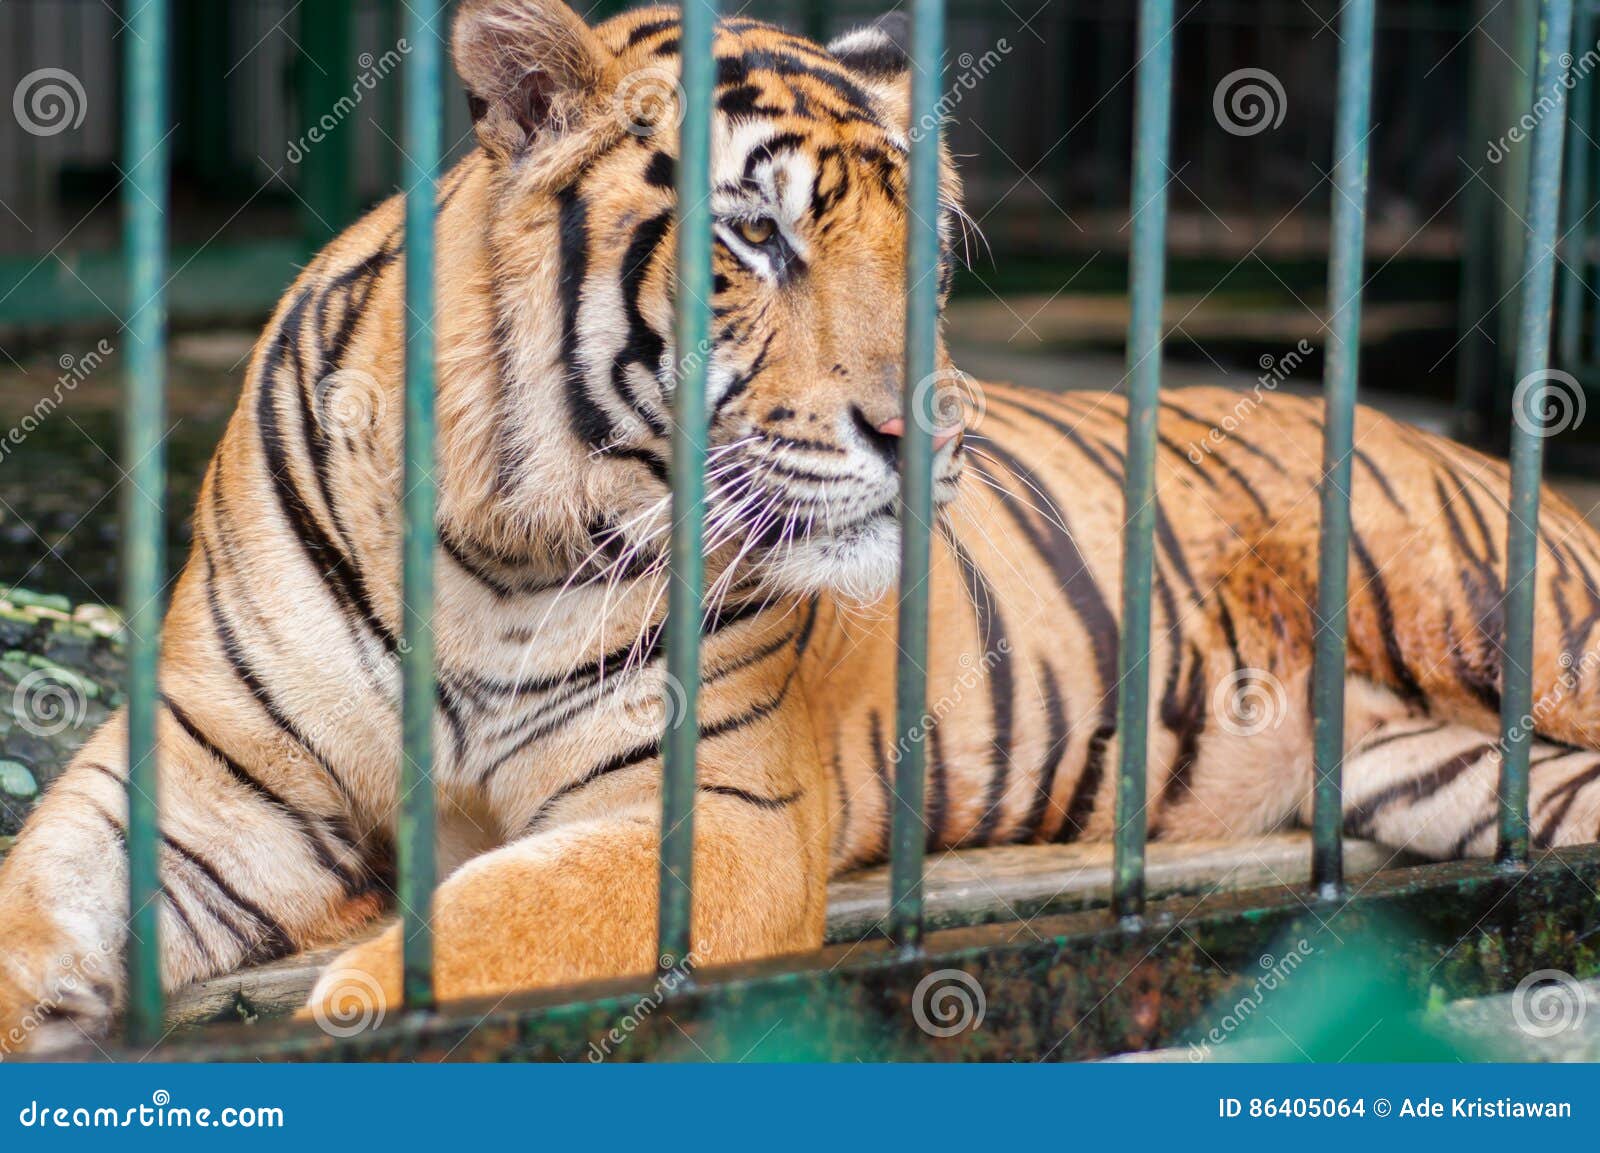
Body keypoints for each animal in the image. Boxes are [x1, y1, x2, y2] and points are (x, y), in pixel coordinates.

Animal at [4, 0, 1600, 1055]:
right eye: (758, 237)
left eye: (926, 252)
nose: (926, 426)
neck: (504, 542)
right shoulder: (208, 790)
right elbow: (34, 899)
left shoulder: (706, 815)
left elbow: (465, 941)